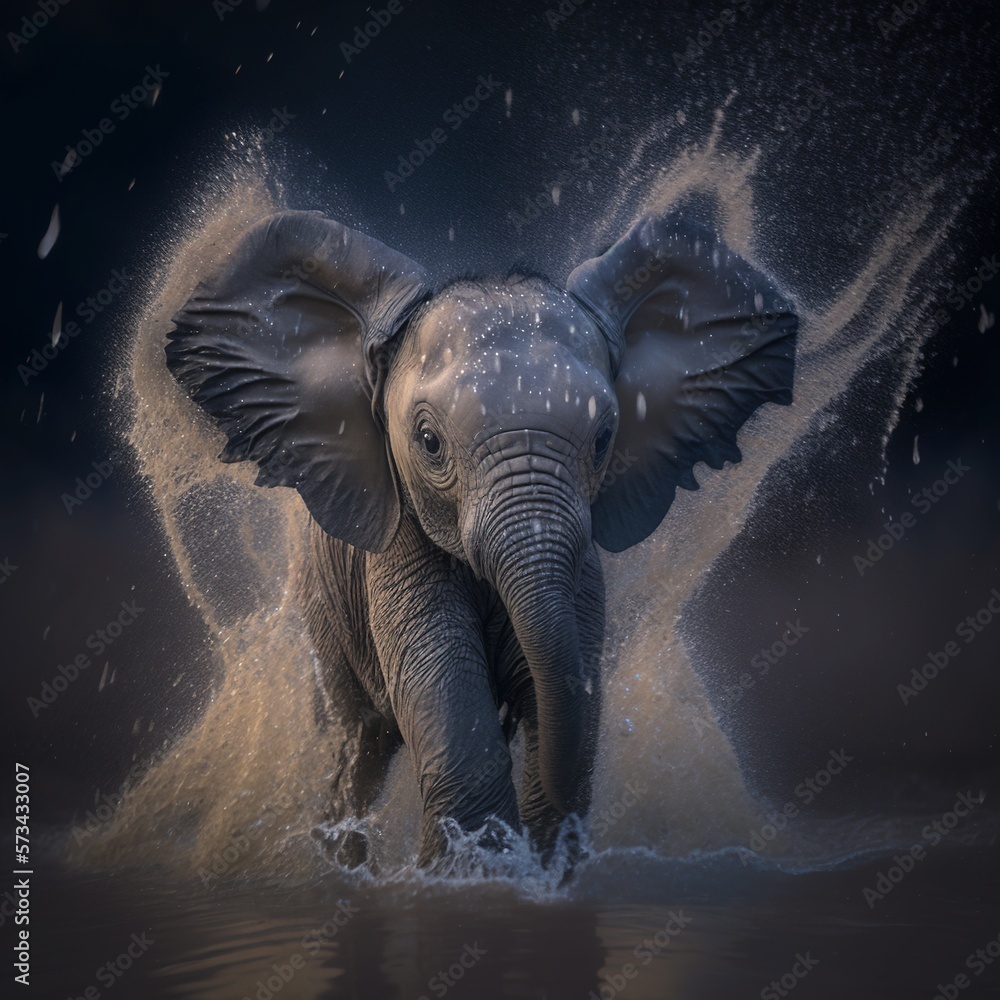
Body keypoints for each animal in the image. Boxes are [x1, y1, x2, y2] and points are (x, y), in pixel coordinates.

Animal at [164, 207, 797, 870]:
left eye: (604, 439)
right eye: (429, 442)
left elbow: (555, 683)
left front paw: (534, 867)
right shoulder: (397, 546)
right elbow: (444, 684)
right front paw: (471, 874)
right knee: (354, 744)